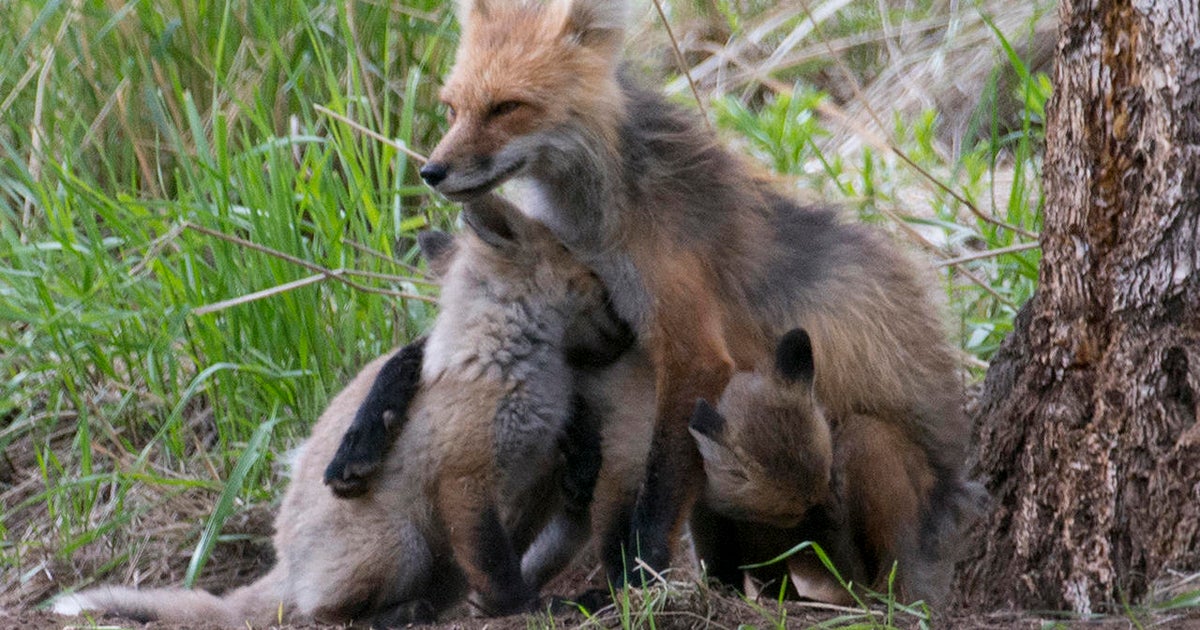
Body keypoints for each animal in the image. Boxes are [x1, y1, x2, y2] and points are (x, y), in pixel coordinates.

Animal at [53, 195, 634, 626]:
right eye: (592, 280)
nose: (630, 333)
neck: (508, 363)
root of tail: (285, 564)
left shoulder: (532, 469)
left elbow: (512, 546)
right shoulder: (465, 476)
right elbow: (496, 563)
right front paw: (521, 608)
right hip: (399, 543)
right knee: (321, 614)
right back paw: (396, 614)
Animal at [416, 0, 978, 599]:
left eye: (507, 107)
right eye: (451, 108)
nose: (430, 172)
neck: (602, 224)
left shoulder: (693, 350)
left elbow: (658, 490)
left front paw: (639, 578)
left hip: (862, 447)